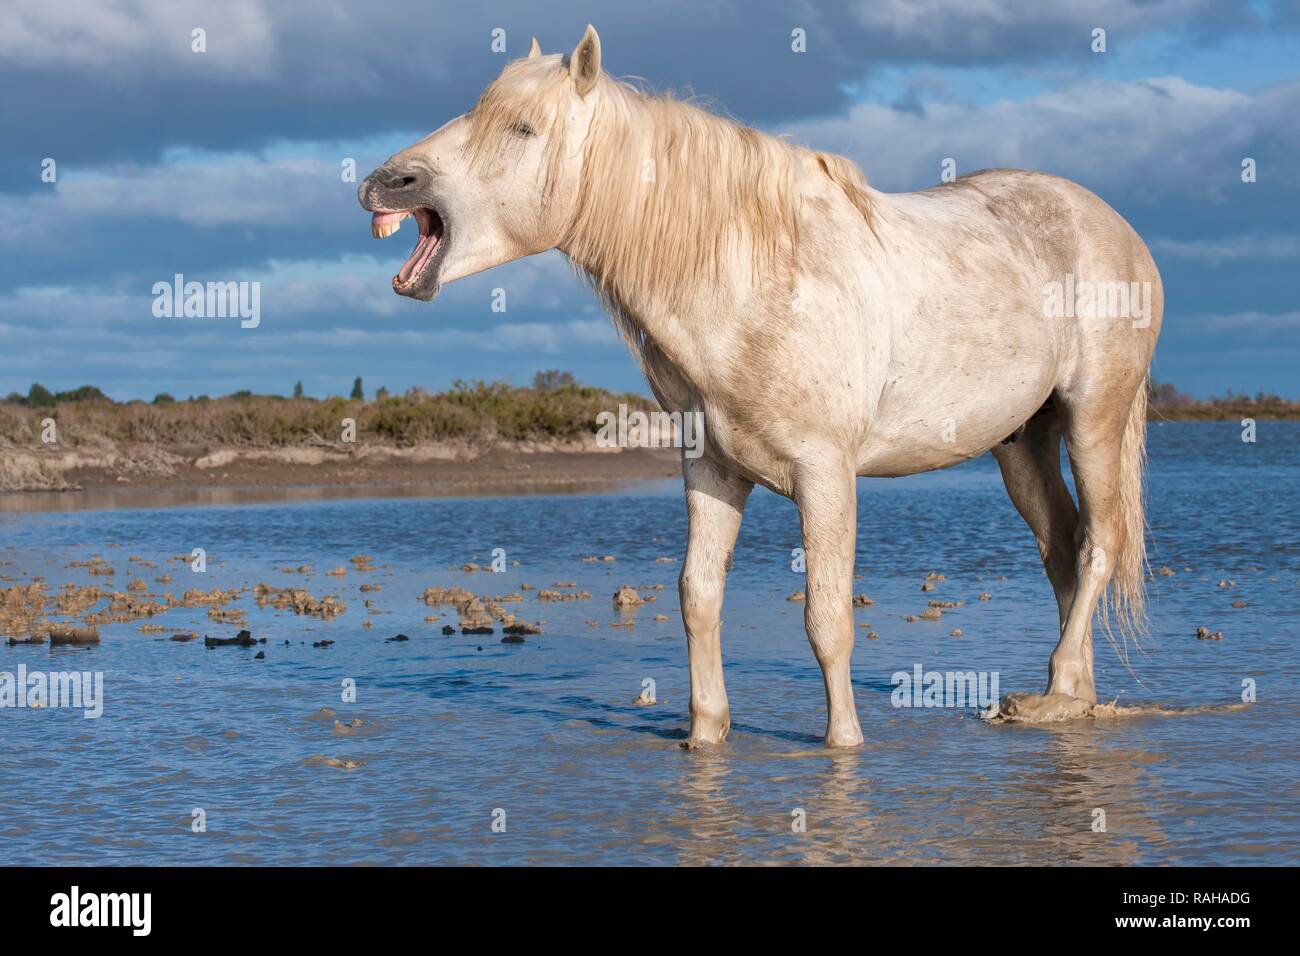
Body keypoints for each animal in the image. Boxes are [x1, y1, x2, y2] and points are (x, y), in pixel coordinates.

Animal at [358, 26, 1163, 747]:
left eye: (523, 128)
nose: (385, 183)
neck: (752, 274)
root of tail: (1119, 230)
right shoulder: (712, 469)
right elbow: (698, 596)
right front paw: (705, 733)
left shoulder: (827, 474)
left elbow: (827, 618)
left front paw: (844, 744)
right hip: (1021, 442)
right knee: (1061, 548)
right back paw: (1069, 696)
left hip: (1093, 415)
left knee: (1098, 544)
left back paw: (1055, 694)